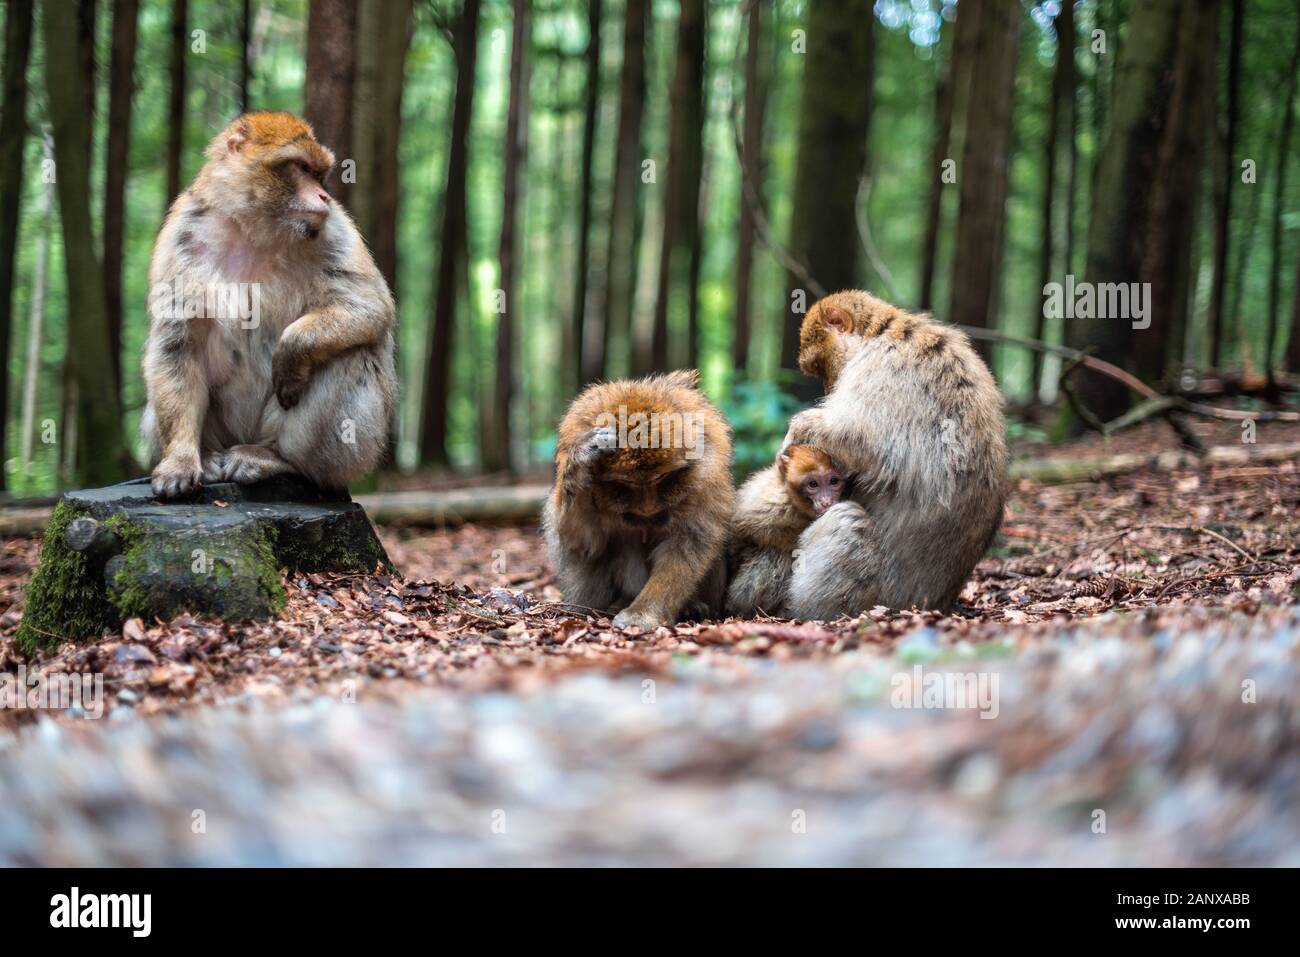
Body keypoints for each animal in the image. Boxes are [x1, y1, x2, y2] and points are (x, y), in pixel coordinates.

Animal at [141, 111, 397, 498]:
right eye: (301, 168)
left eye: (318, 174)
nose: (324, 195)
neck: (254, 228)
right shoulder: (181, 234)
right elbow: (177, 343)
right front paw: (180, 460)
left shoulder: (335, 228)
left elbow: (368, 306)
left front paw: (292, 349)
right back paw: (209, 456)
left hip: (348, 452)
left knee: (350, 356)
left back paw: (277, 458)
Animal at [542, 370, 734, 631]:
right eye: (628, 483)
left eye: (661, 477)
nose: (648, 509)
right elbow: (583, 543)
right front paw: (581, 458)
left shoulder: (705, 484)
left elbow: (686, 545)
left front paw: (642, 613)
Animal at [724, 444, 848, 617]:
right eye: (813, 484)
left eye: (834, 481)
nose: (826, 501)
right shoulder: (775, 503)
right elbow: (750, 527)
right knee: (776, 554)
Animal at [778, 289, 1008, 619]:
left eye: (819, 367)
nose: (829, 389)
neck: (882, 331)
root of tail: (936, 602)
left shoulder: (883, 366)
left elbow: (863, 442)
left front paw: (798, 429)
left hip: (882, 594)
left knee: (845, 522)